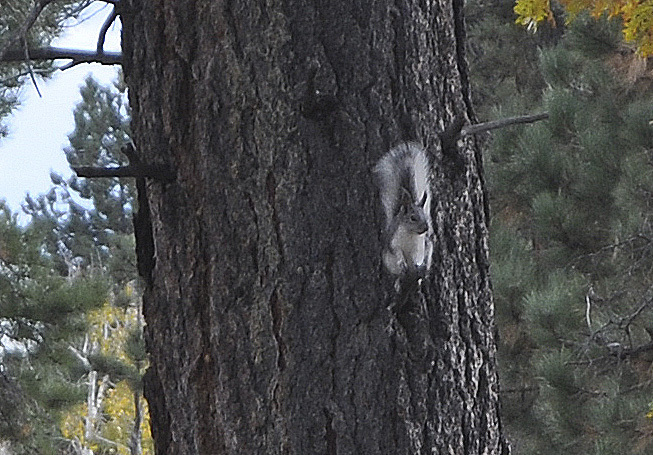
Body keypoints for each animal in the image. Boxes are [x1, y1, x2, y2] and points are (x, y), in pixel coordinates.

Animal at [373, 142, 434, 277]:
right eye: (412, 218)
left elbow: (416, 256)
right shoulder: (394, 241)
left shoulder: (419, 246)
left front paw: (416, 264)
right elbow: (397, 252)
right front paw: (402, 262)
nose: (426, 228)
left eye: (426, 216)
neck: (410, 233)